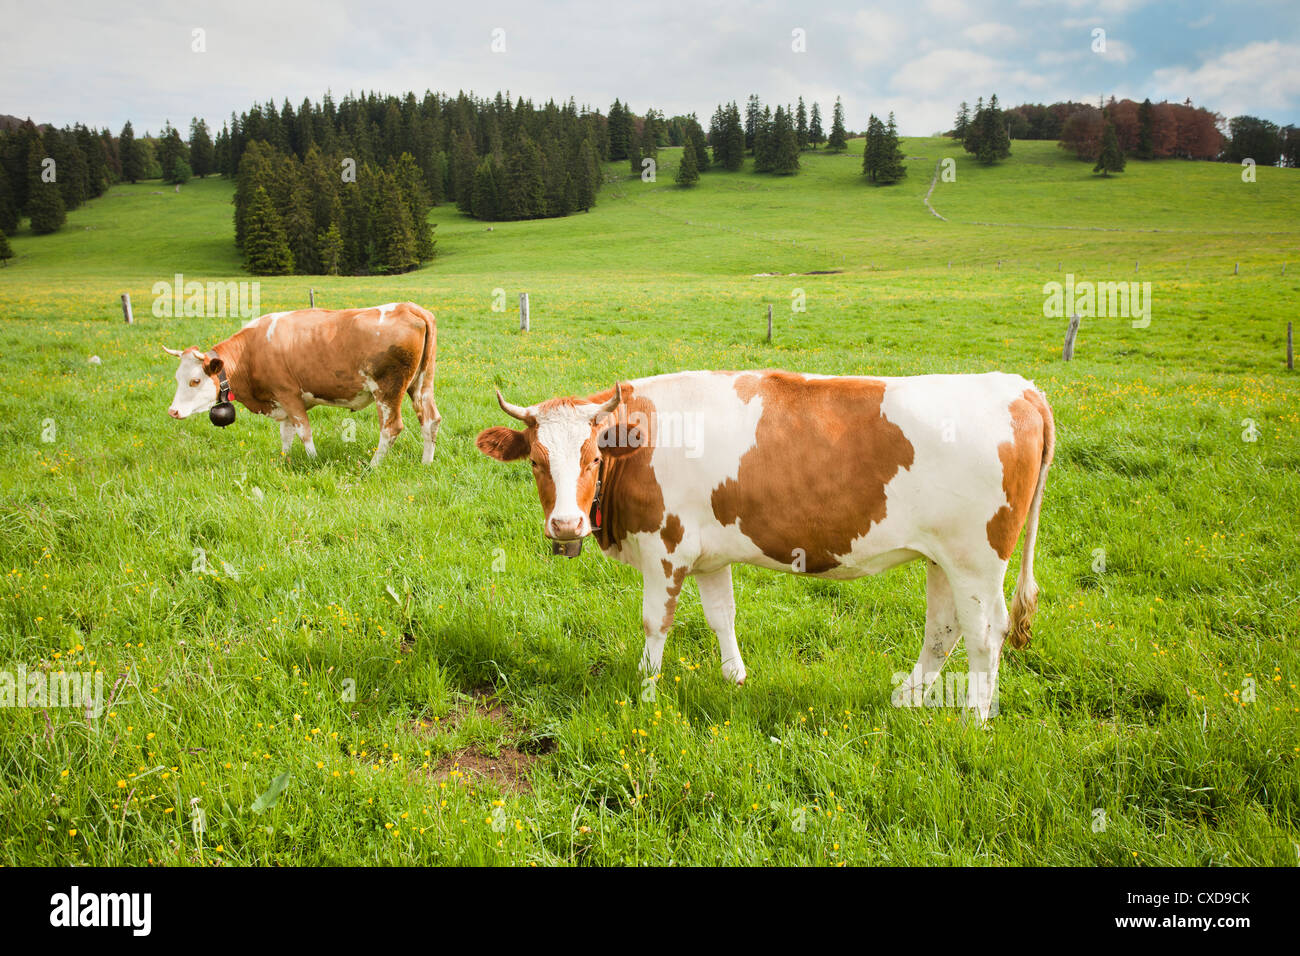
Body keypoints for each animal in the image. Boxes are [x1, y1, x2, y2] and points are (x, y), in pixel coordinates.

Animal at [164, 302, 441, 466]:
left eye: (195, 380)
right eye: (177, 377)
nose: (173, 411)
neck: (251, 351)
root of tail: (409, 307)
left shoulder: (288, 394)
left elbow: (303, 432)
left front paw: (313, 460)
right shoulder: (280, 401)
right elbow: (286, 434)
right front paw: (283, 459)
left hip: (388, 390)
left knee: (391, 428)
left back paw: (373, 466)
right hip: (422, 384)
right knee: (430, 420)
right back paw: (426, 462)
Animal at [476, 370, 1055, 719]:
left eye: (593, 457)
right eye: (536, 462)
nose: (565, 525)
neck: (639, 439)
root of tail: (1022, 388)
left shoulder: (666, 549)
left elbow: (655, 623)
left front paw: (644, 688)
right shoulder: (707, 553)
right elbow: (721, 614)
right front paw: (735, 676)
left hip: (976, 560)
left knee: (986, 633)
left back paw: (976, 718)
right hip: (943, 558)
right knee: (943, 630)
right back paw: (907, 698)